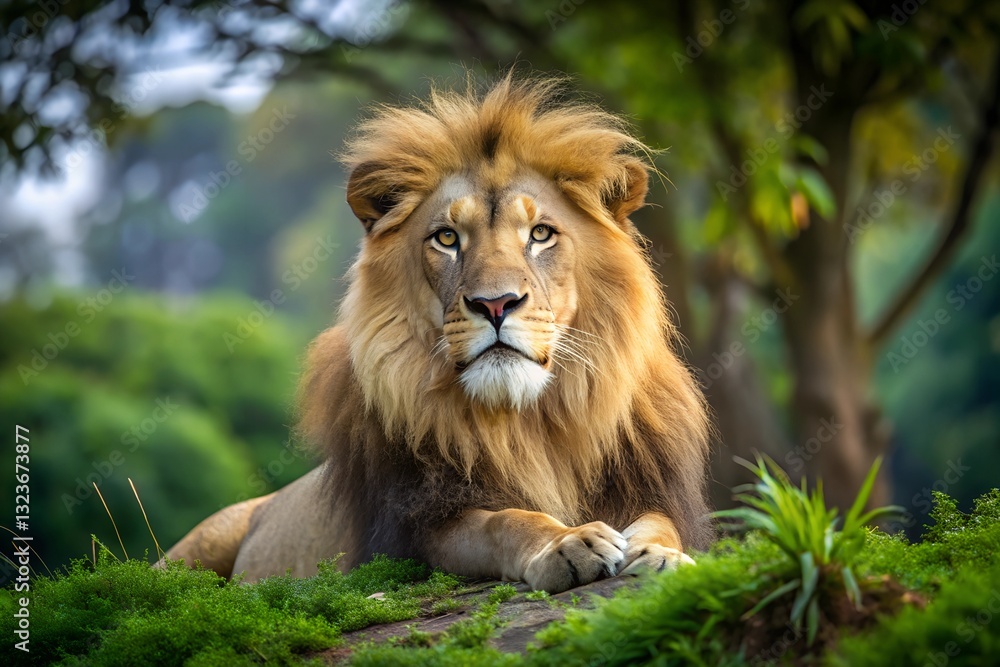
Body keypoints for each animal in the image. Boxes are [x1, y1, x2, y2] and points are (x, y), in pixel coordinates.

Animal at [162, 73, 712, 592]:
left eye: (540, 234)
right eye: (447, 238)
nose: (496, 304)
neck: (525, 424)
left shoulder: (650, 487)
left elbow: (659, 522)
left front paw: (661, 556)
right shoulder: (419, 530)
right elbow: (505, 522)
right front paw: (566, 543)